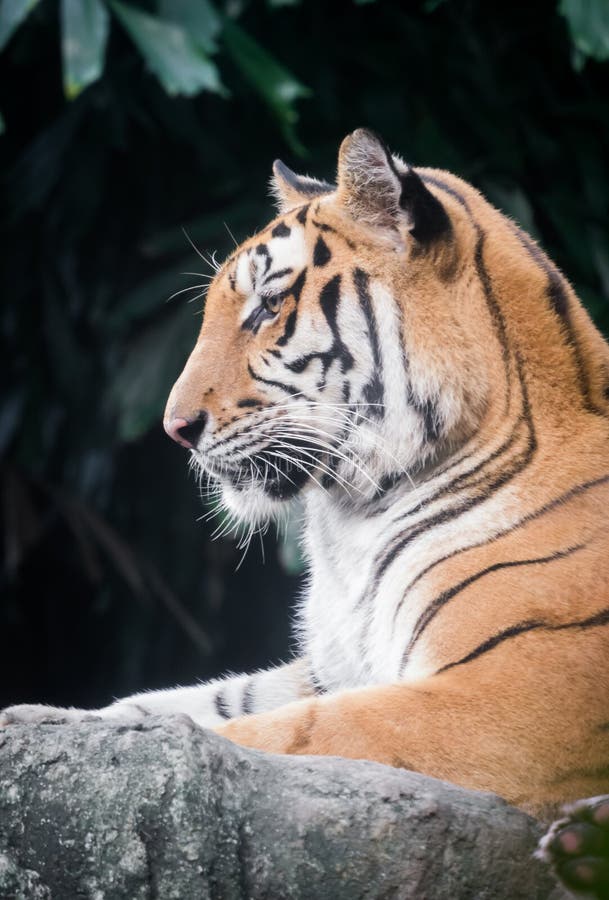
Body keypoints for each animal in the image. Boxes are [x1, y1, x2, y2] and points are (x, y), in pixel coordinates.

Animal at [3, 128, 609, 820]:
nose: (175, 428)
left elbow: (289, 732)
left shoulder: (511, 696)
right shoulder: (328, 668)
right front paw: (46, 720)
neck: (355, 522)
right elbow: (191, 702)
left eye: (268, 306)